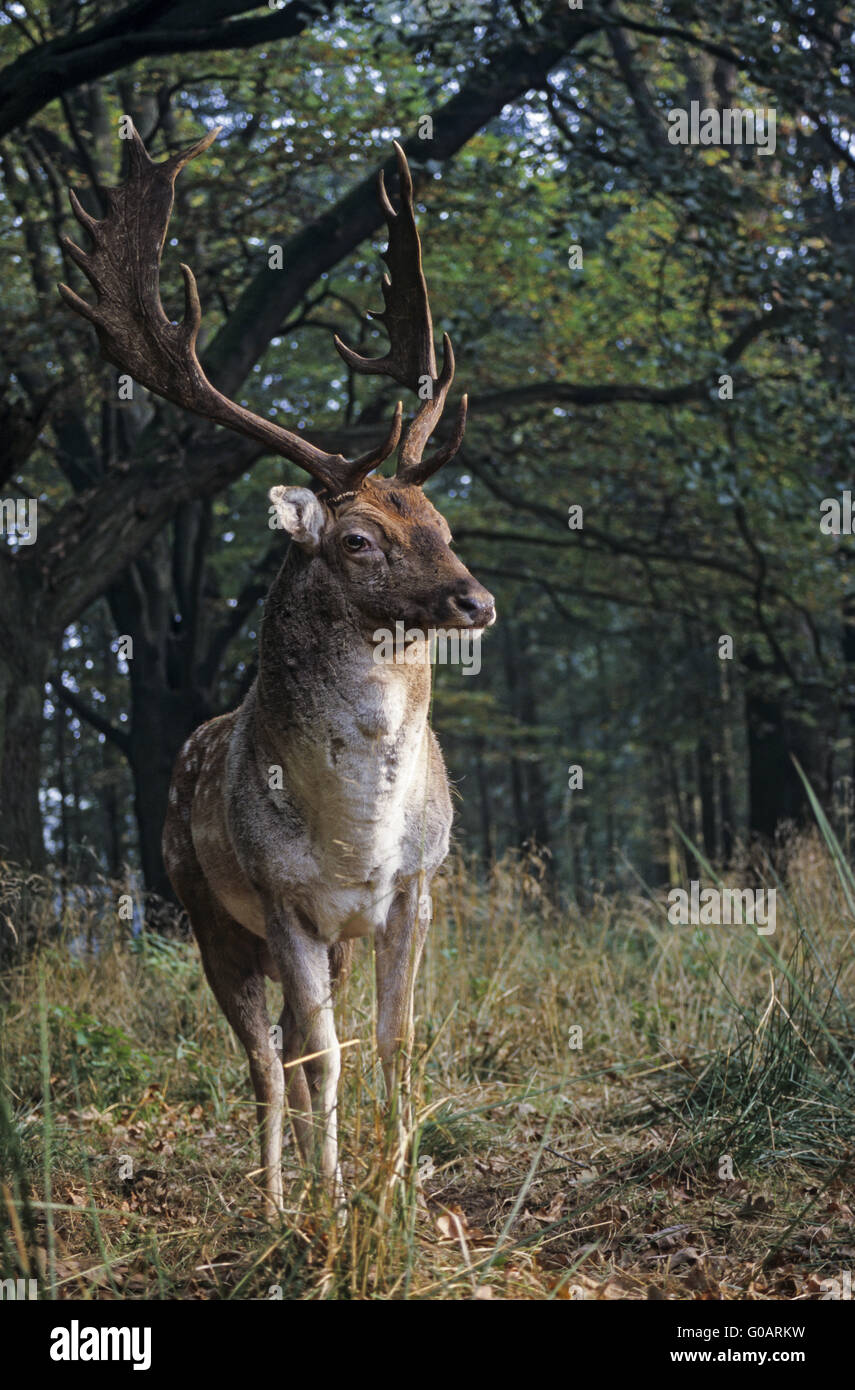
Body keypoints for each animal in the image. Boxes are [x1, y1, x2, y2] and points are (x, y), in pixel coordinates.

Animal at [59, 127, 495, 1215]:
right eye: (356, 540)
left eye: (442, 522)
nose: (475, 601)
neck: (357, 842)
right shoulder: (282, 899)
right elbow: (320, 1058)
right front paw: (333, 1209)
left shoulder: (417, 887)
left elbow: (395, 1041)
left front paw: (397, 1193)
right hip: (208, 914)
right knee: (267, 1058)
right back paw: (273, 1197)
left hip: (321, 937)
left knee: (298, 1046)